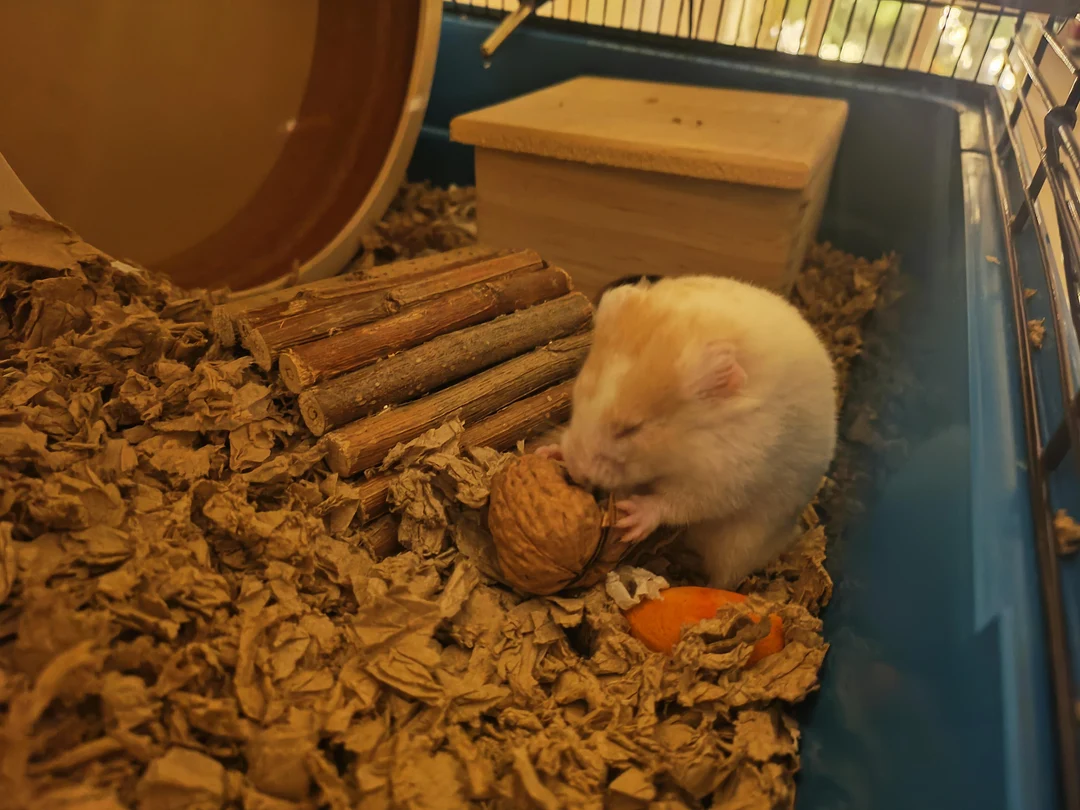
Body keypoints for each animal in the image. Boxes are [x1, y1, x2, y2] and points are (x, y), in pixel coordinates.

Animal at [541, 274, 837, 590]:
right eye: (578, 395)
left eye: (632, 429)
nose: (575, 472)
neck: (684, 445)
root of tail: (791, 534)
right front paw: (549, 452)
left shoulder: (724, 477)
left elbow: (677, 502)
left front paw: (631, 519)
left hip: (739, 545)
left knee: (725, 578)